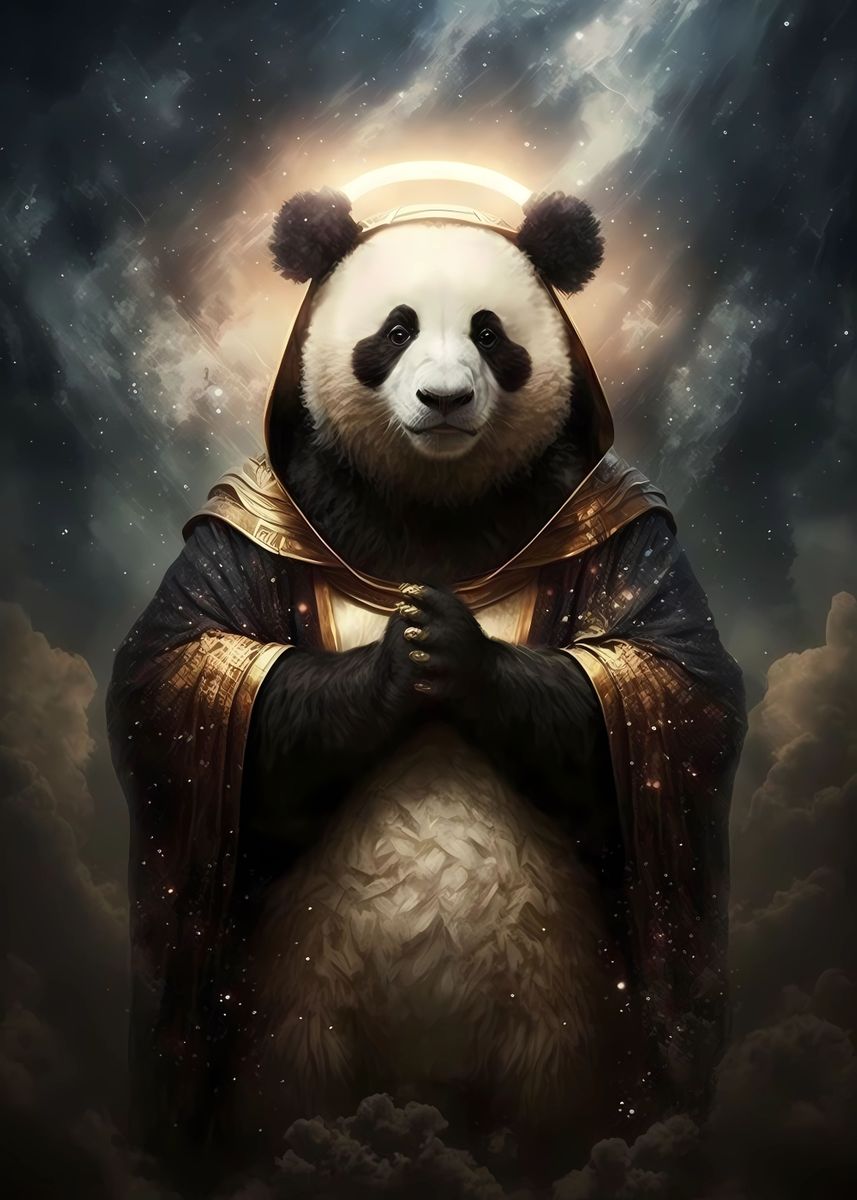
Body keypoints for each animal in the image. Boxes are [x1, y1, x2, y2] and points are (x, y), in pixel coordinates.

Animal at [227, 189, 647, 1160]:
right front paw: (398, 655)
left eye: (490, 333)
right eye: (396, 328)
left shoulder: (594, 509)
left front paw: (451, 645)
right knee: (284, 1078)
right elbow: (205, 670)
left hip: (559, 989)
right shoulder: (273, 510)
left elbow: (652, 669)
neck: (435, 497)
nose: (446, 399)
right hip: (298, 984)